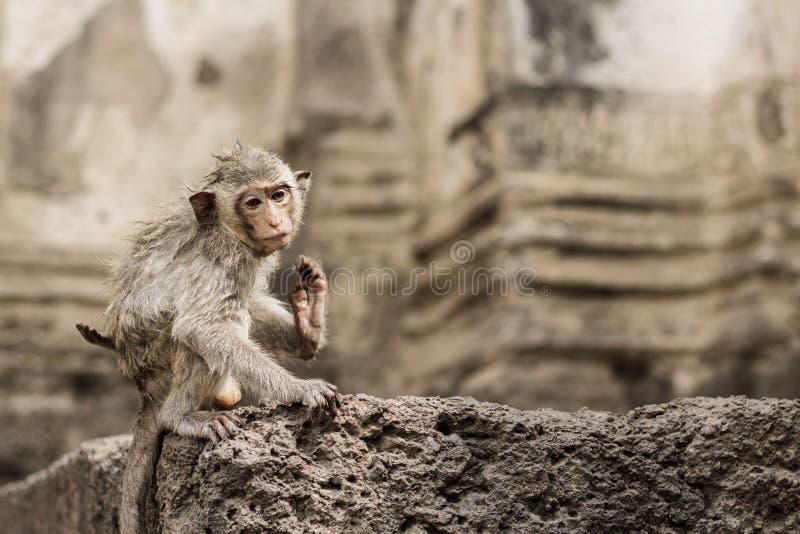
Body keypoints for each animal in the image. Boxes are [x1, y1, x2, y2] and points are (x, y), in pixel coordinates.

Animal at [75, 141, 339, 534]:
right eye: (253, 202)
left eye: (278, 195)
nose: (275, 220)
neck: (225, 232)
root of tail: (144, 389)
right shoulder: (218, 260)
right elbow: (200, 327)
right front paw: (301, 389)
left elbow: (248, 300)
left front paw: (306, 329)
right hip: (160, 364)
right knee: (196, 339)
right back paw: (179, 416)